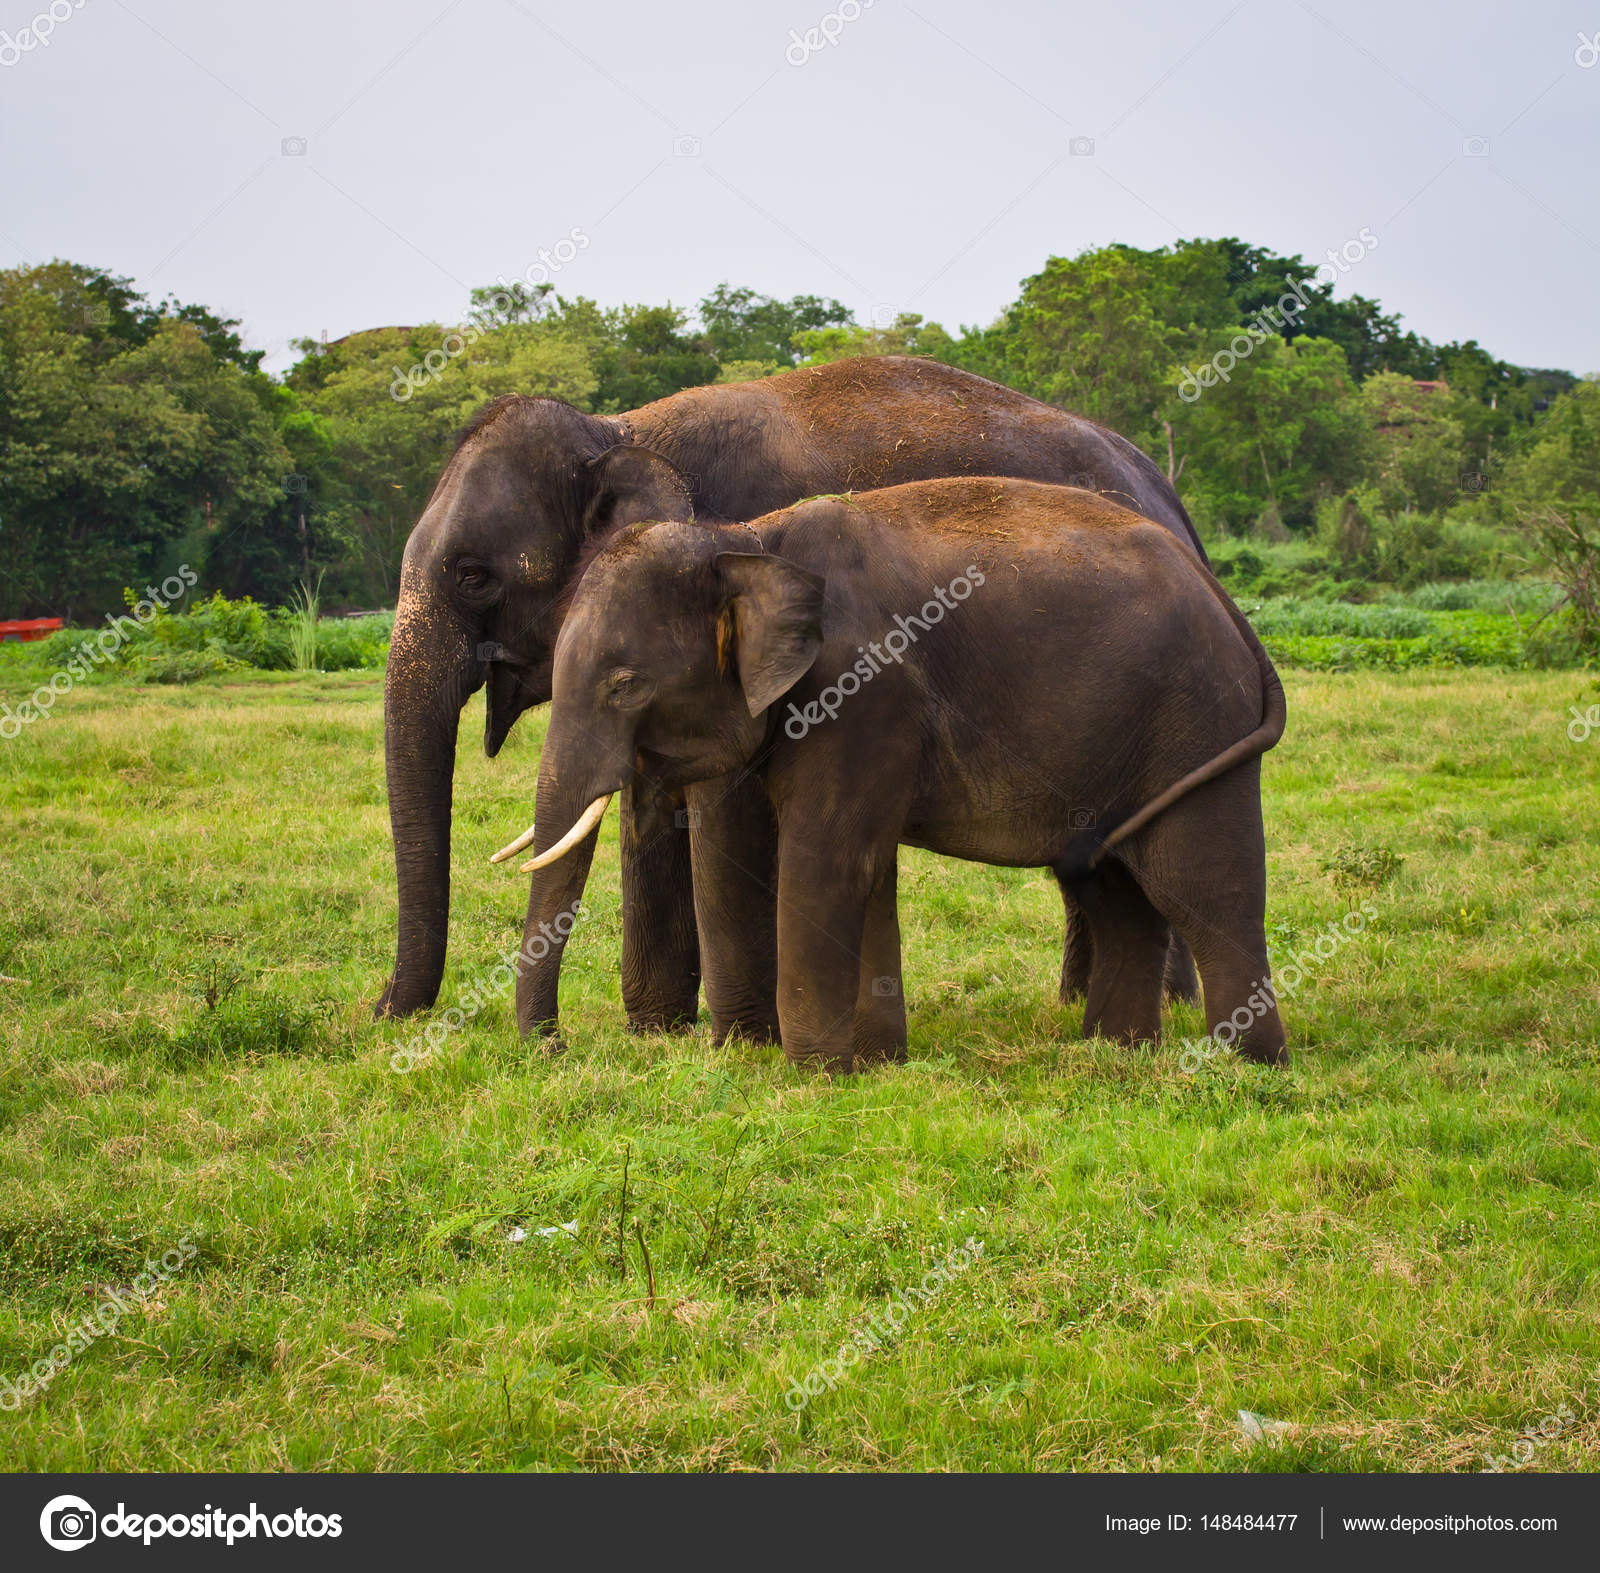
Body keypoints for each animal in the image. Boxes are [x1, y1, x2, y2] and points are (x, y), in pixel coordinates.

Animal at [377, 355, 1207, 1030]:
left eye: (473, 575)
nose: (382, 1011)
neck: (620, 430)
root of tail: (1172, 498)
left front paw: (737, 1033)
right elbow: (652, 800)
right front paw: (656, 1031)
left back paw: (1161, 1005)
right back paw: (1084, 1001)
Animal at [503, 477, 1289, 1073]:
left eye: (624, 684)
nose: (555, 1048)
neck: (750, 543)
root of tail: (1222, 595)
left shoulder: (863, 692)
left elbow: (829, 858)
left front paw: (815, 1074)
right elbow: (840, 863)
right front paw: (860, 1061)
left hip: (1196, 724)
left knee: (1204, 887)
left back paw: (1247, 1069)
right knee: (1114, 890)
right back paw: (1113, 1054)